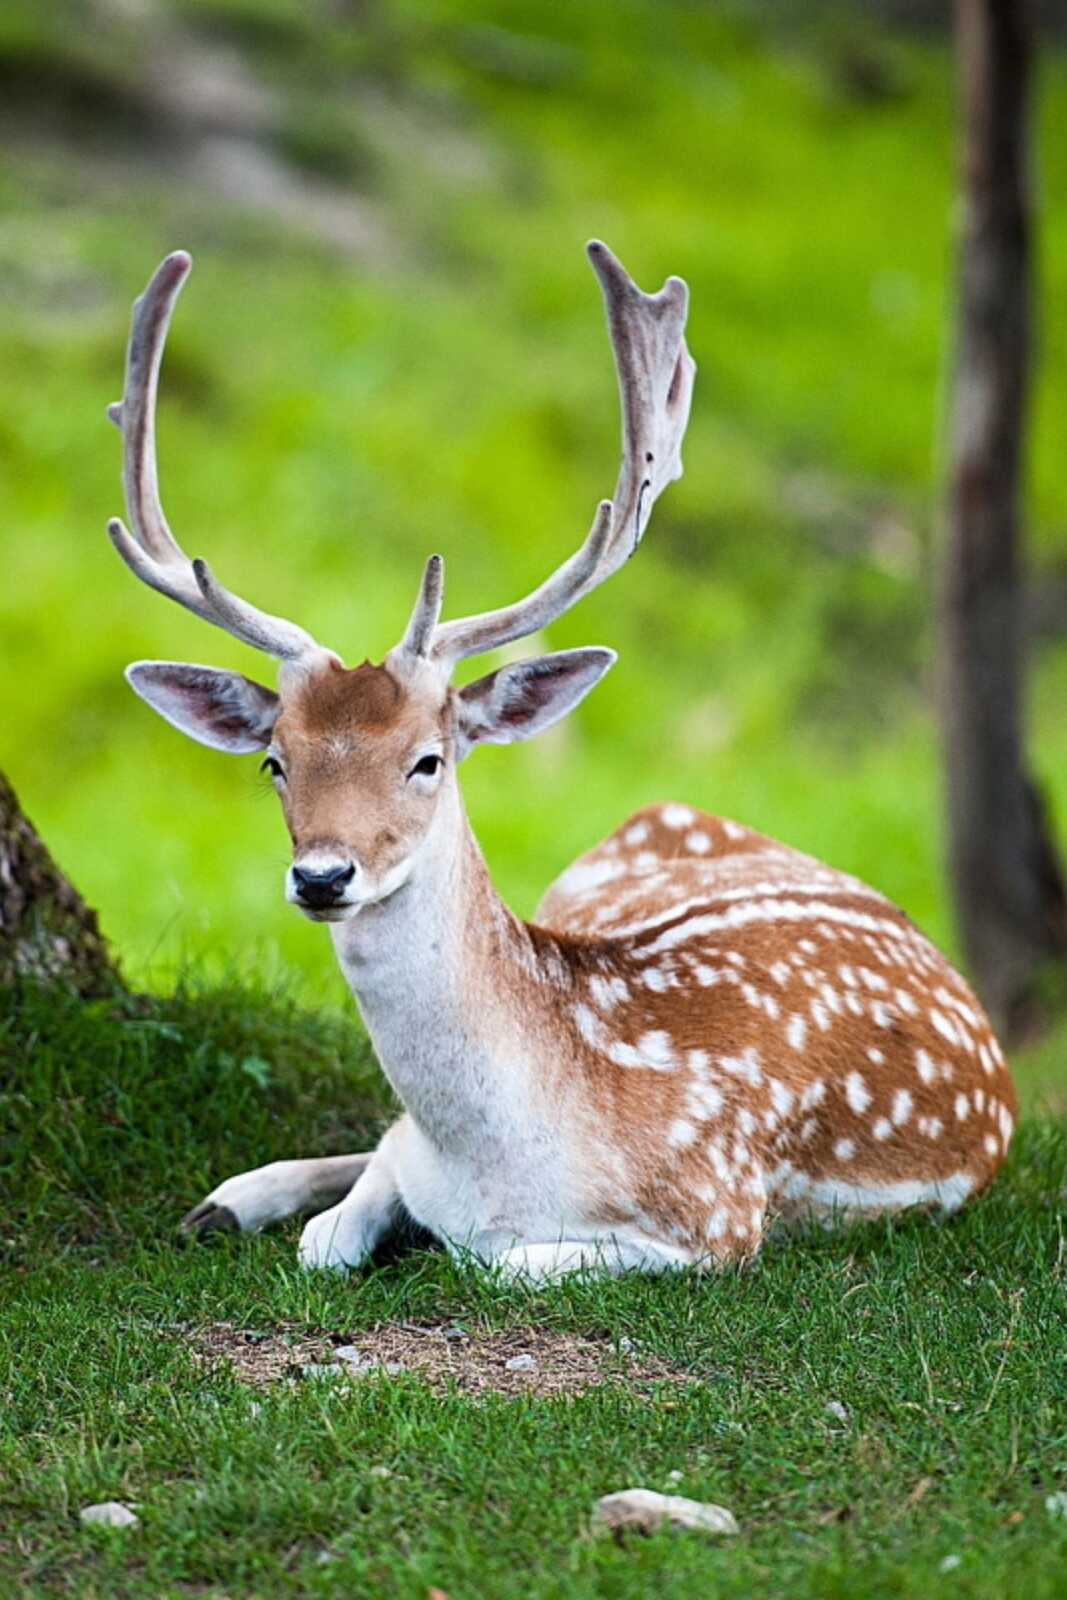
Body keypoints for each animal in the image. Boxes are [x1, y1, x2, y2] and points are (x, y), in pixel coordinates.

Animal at [105, 243, 1016, 1283]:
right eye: (275, 762)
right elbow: (334, 1229)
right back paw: (228, 1198)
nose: (323, 876)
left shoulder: (718, 1218)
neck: (498, 1157)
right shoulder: (412, 1155)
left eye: (428, 760)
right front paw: (269, 1205)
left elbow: (490, 1260)